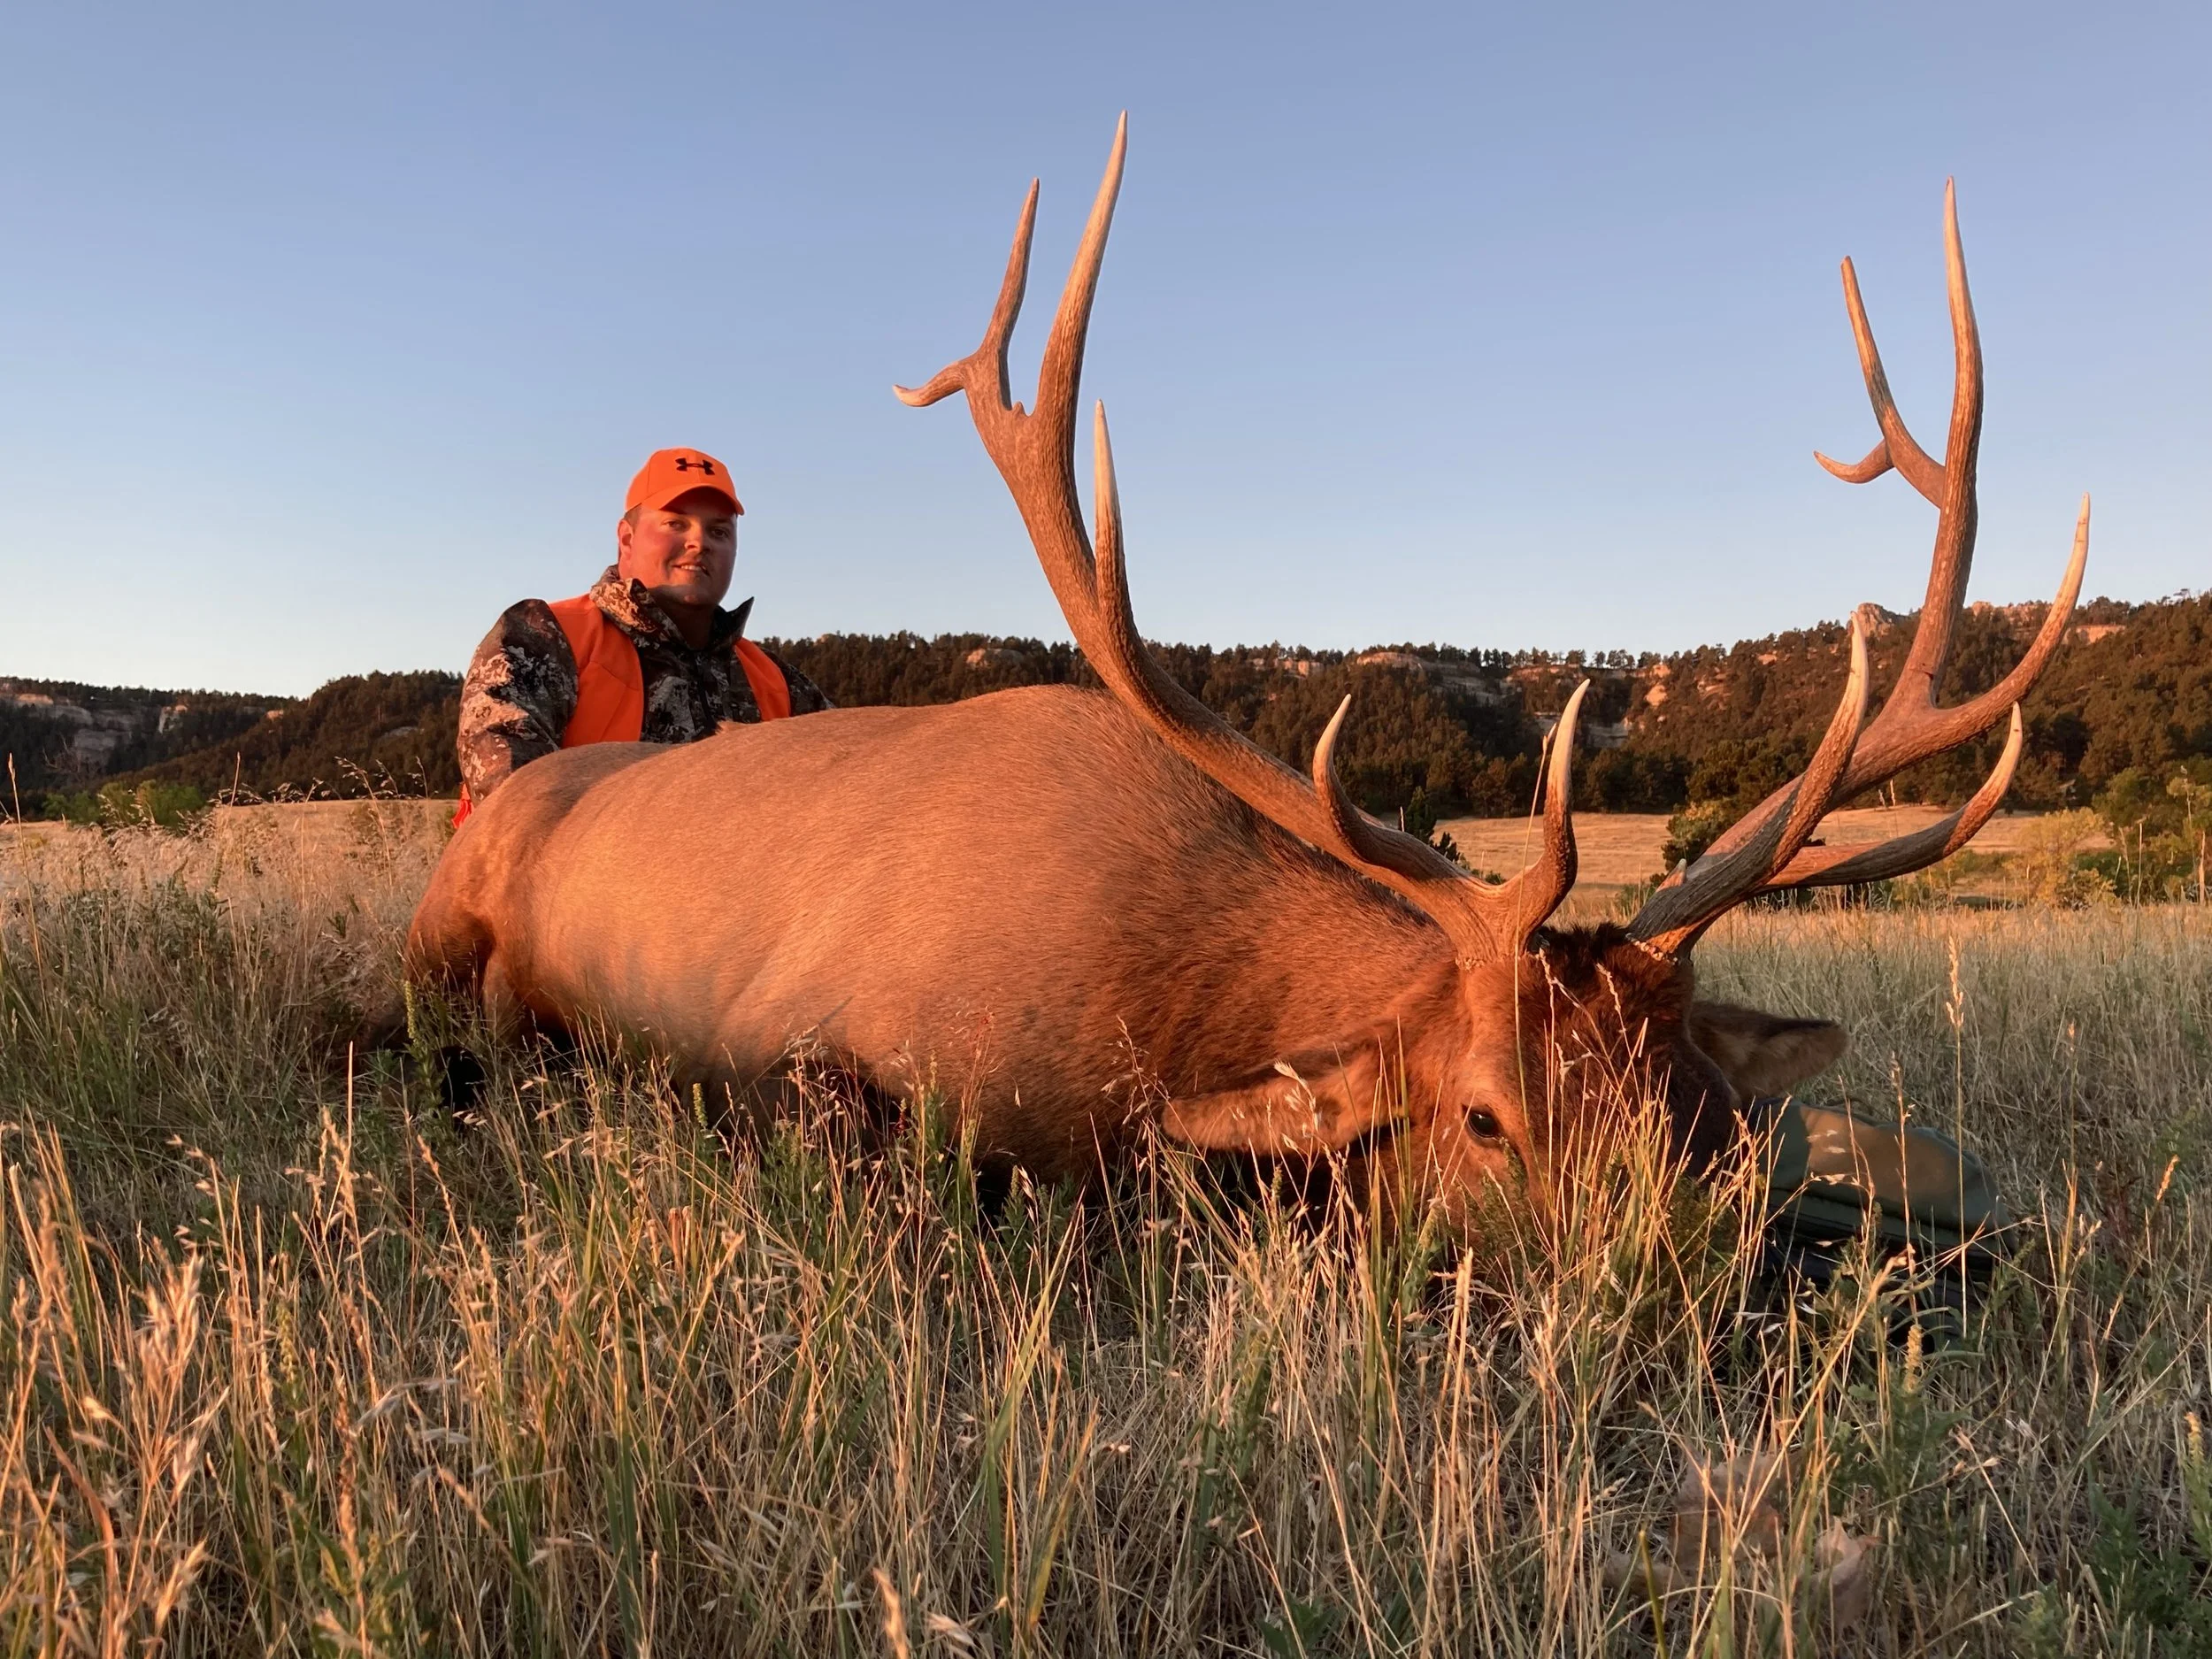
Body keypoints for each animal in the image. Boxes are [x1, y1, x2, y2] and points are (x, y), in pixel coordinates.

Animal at [405, 119, 2087, 1232]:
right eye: (1487, 1118)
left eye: (1707, 1126)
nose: (1666, 1309)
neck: (1153, 1007)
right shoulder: (802, 1045)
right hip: (450, 922)